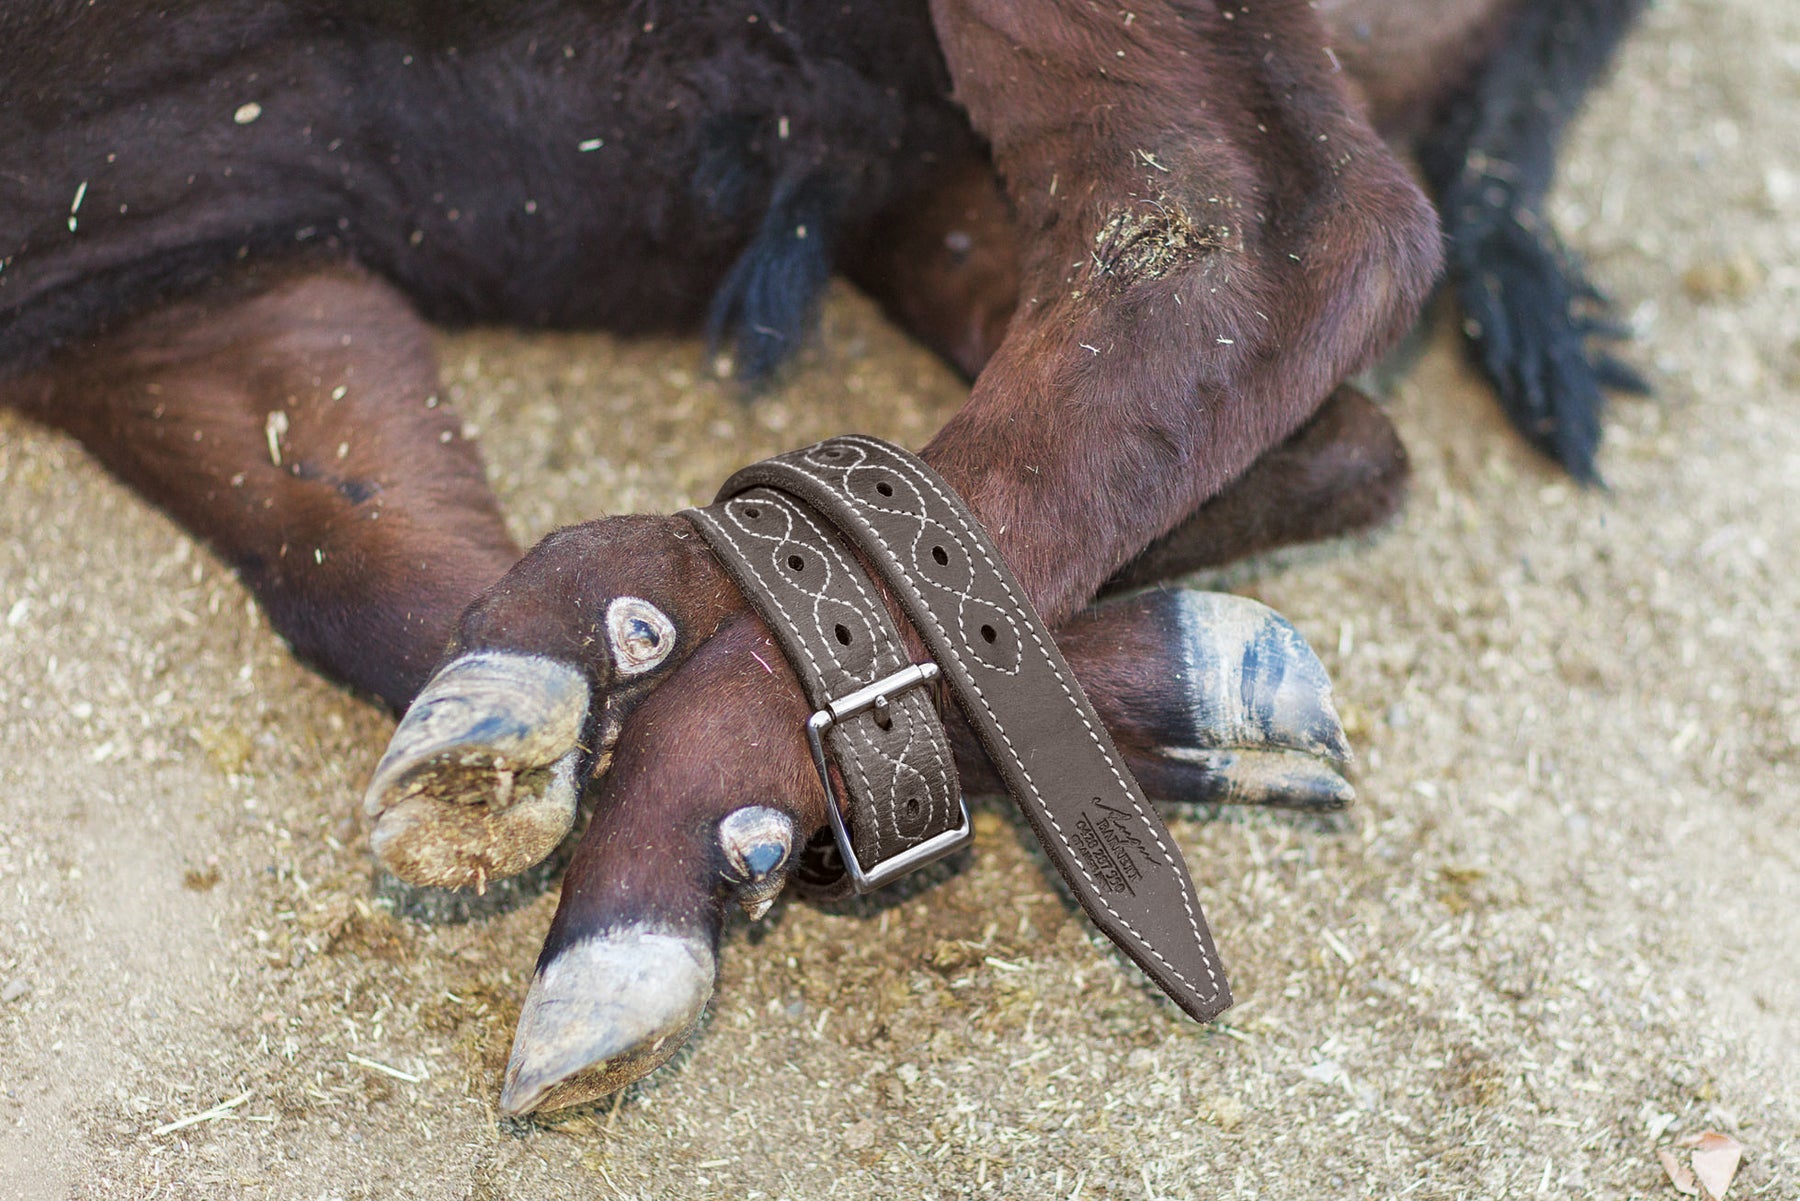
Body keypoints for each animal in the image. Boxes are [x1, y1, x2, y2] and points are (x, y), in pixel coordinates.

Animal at [0, 0, 1647, 1113]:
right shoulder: (162, 268)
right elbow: (349, 547)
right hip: (931, 191)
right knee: (1323, 419)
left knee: (1258, 227)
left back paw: (640, 888)